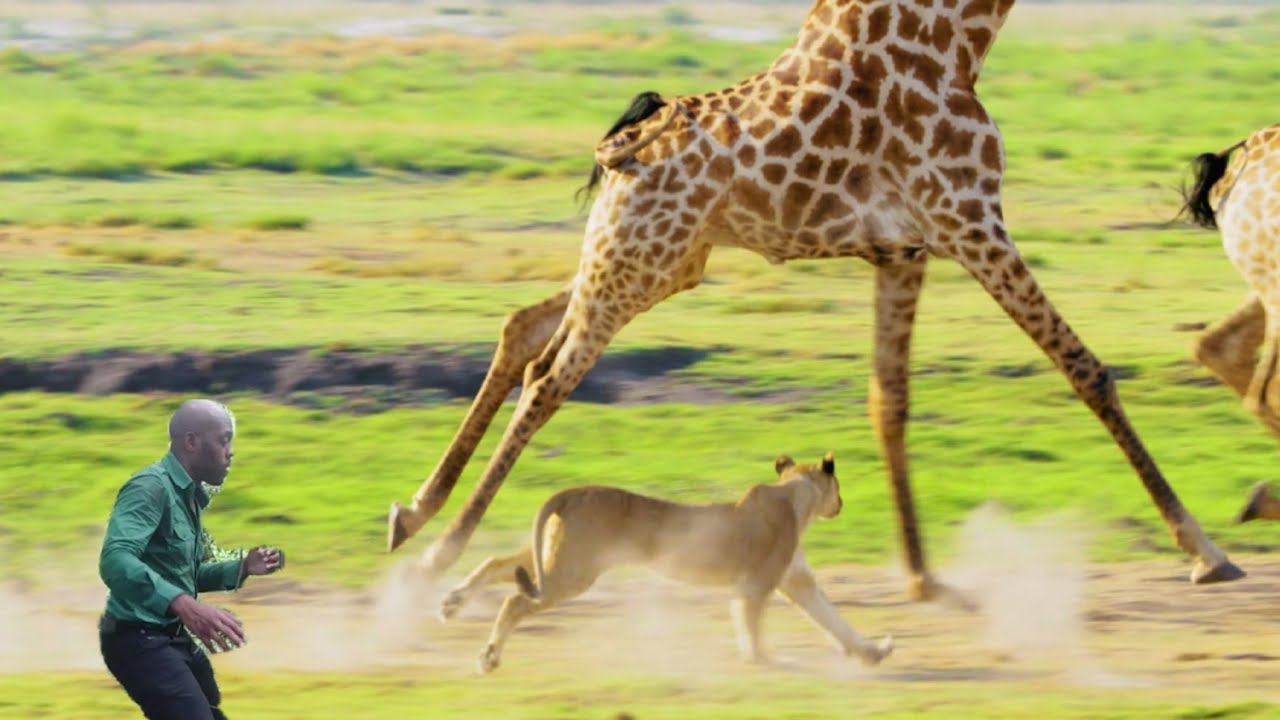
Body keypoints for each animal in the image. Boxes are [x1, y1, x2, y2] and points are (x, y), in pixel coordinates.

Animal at [387, 0, 1246, 597]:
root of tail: (619, 145)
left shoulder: (905, 249)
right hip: (637, 262)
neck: (953, 36)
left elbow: (888, 399)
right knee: (548, 377)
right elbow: (1085, 367)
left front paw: (922, 576)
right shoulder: (971, 219)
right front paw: (1205, 550)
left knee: (523, 326)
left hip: (658, 260)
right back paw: (437, 551)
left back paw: (413, 513)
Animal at [438, 452, 894, 674]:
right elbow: (753, 627)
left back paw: (451, 603)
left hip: (552, 560)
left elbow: (834, 620)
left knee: (496, 563)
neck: (796, 496)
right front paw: (766, 660)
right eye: (839, 486)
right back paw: (488, 657)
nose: (842, 504)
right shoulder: (756, 587)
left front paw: (873, 652)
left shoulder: (797, 582)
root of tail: (571, 491)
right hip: (572, 573)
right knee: (515, 601)